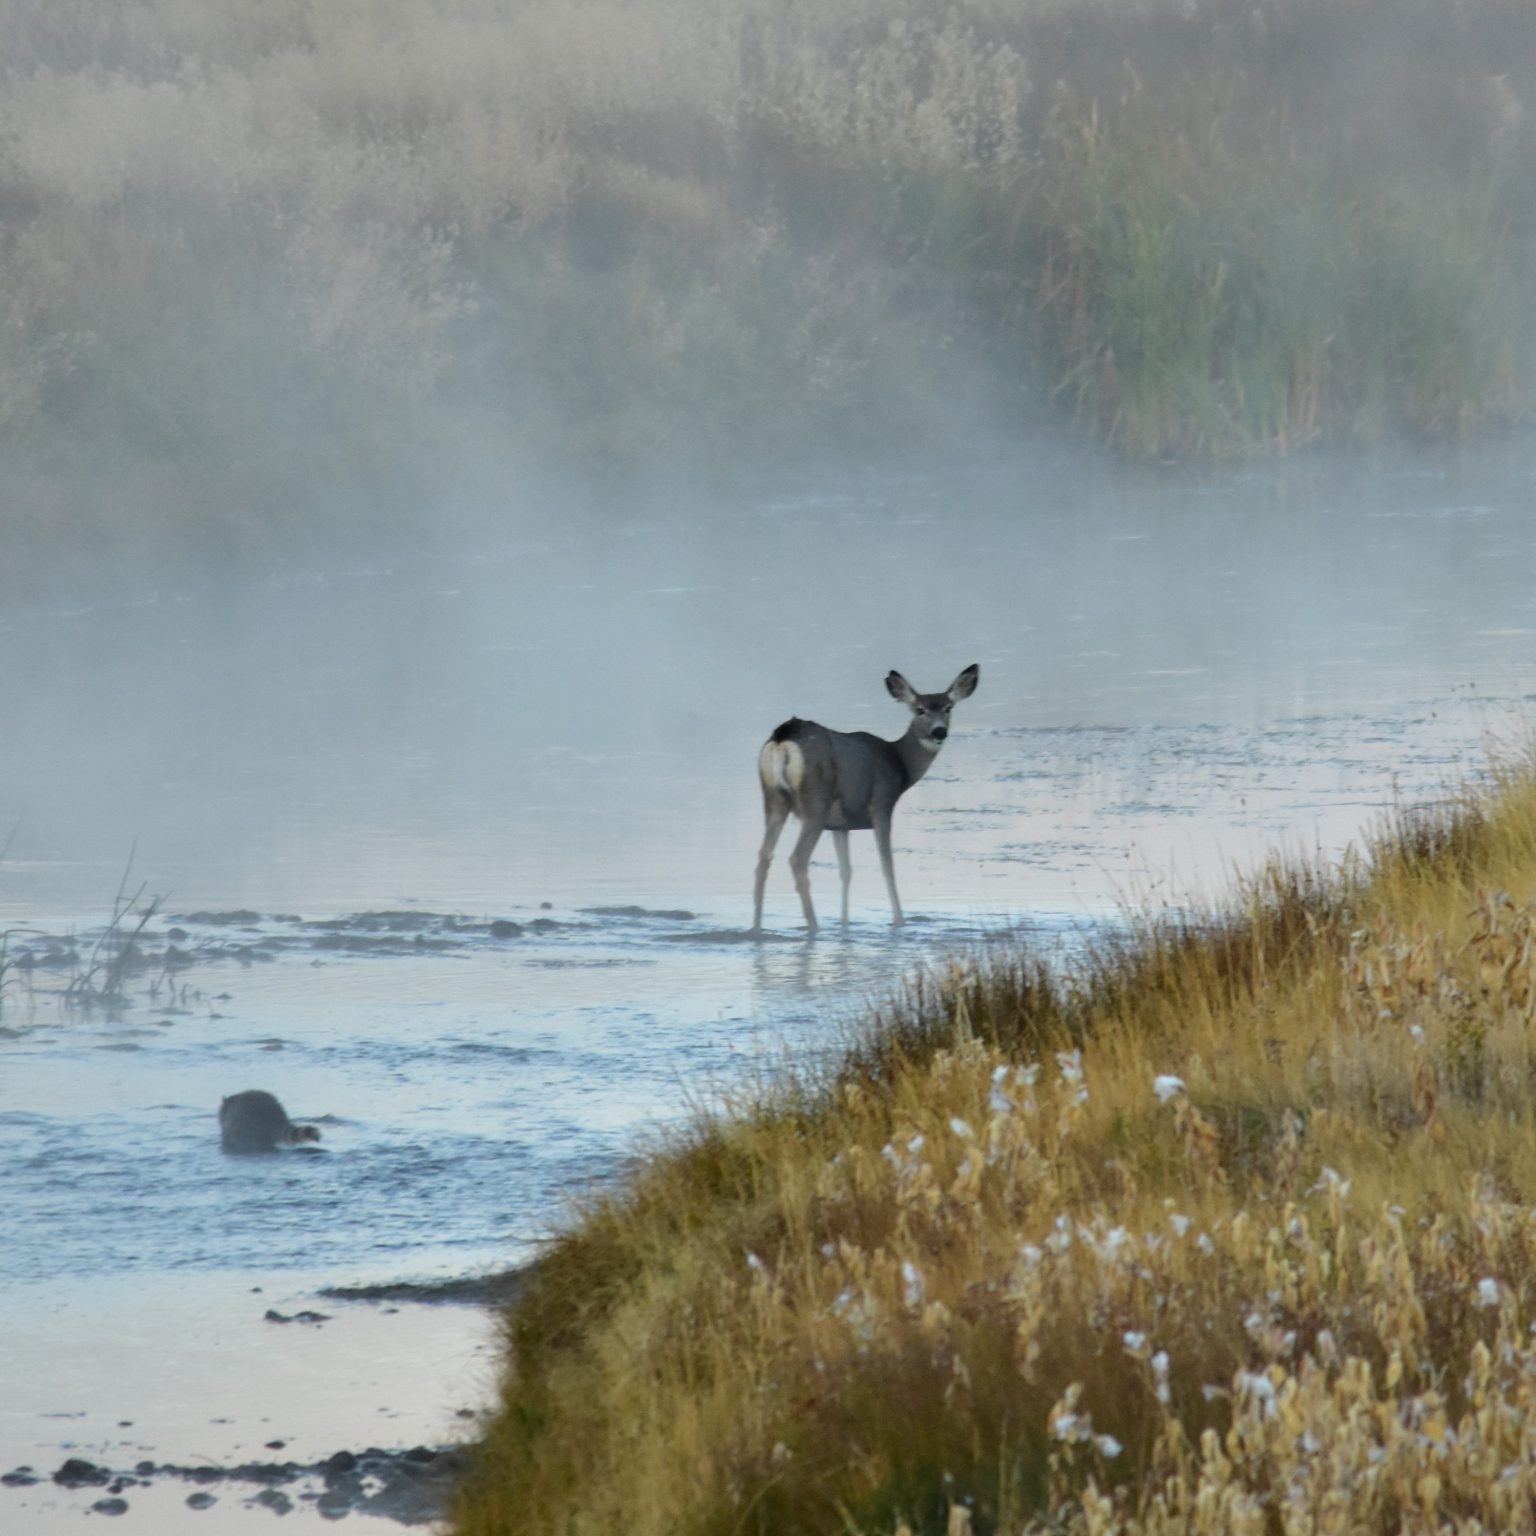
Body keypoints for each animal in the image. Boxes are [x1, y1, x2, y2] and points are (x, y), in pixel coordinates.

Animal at [752, 665, 979, 934]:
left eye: (948, 708)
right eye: (919, 710)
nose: (939, 732)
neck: (899, 765)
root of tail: (781, 737)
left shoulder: (840, 825)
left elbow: (846, 871)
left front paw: (844, 923)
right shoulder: (881, 804)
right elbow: (887, 865)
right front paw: (899, 922)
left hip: (773, 798)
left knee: (763, 857)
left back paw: (757, 927)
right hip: (815, 800)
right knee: (797, 859)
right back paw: (813, 926)